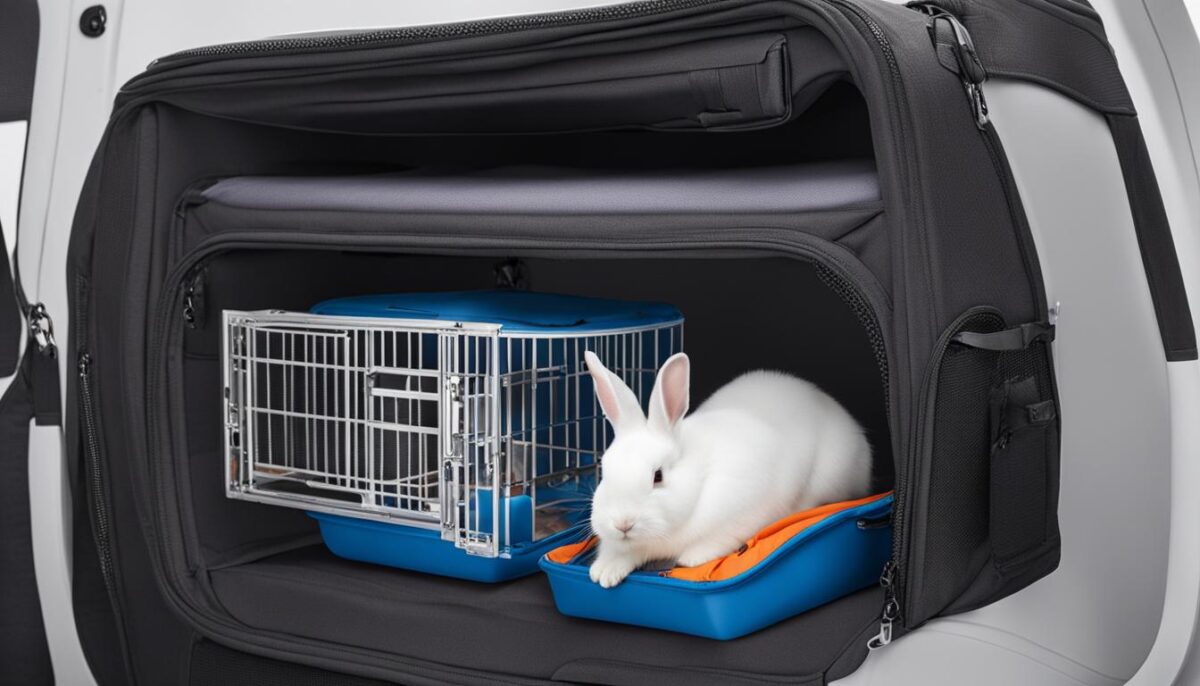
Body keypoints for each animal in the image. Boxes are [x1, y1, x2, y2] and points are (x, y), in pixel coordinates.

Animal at [582, 350, 872, 588]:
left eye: (658, 476)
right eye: (604, 470)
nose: (622, 524)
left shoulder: (742, 512)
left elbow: (718, 539)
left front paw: (692, 557)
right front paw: (603, 573)